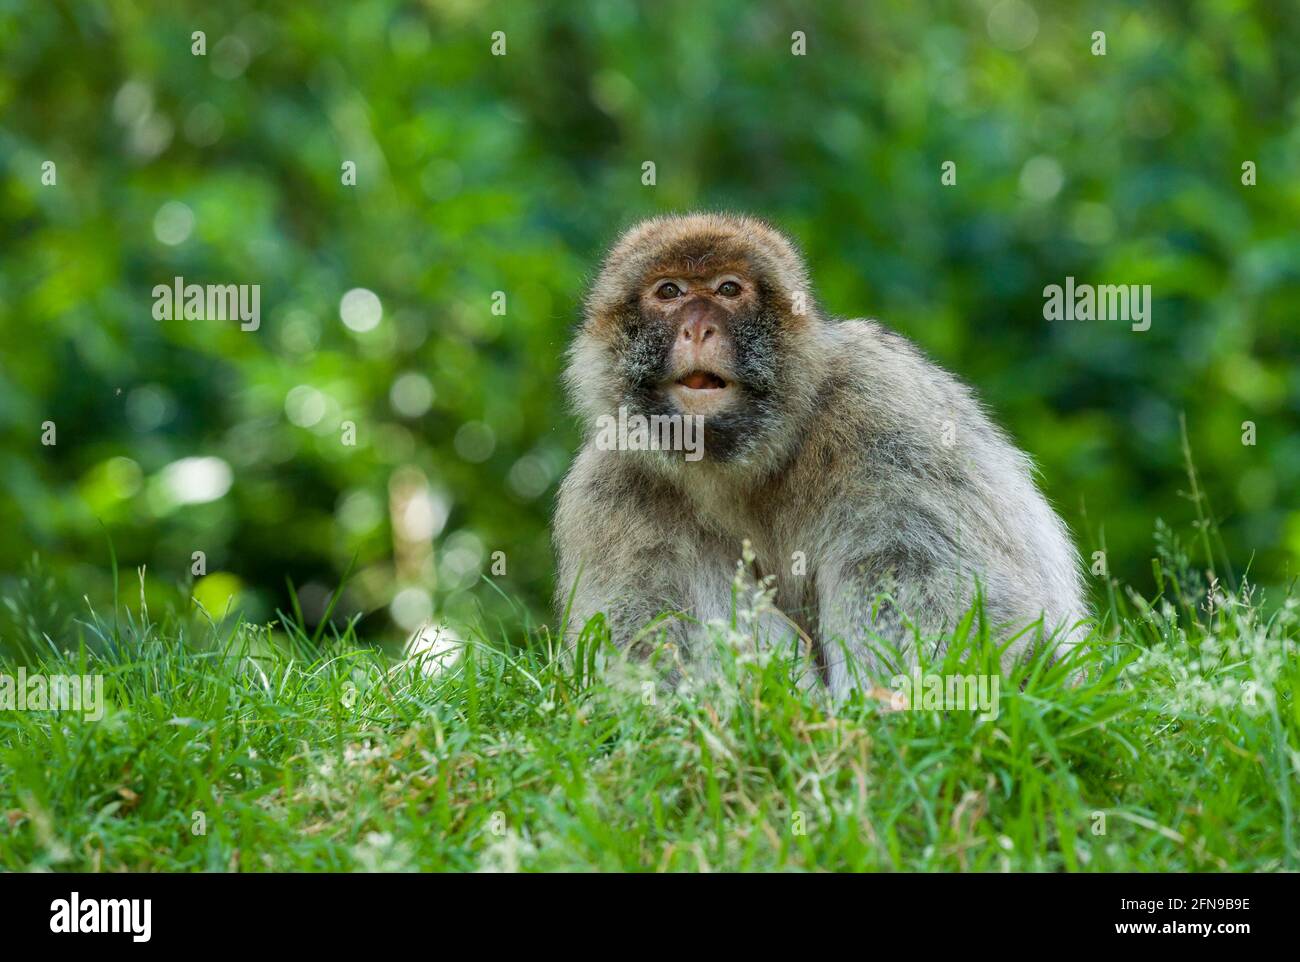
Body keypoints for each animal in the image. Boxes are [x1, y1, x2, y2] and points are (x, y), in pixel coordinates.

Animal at [553, 212, 1089, 697]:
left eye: (728, 289)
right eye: (670, 292)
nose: (698, 328)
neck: (739, 462)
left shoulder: (886, 413)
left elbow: (917, 573)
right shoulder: (610, 489)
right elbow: (657, 628)